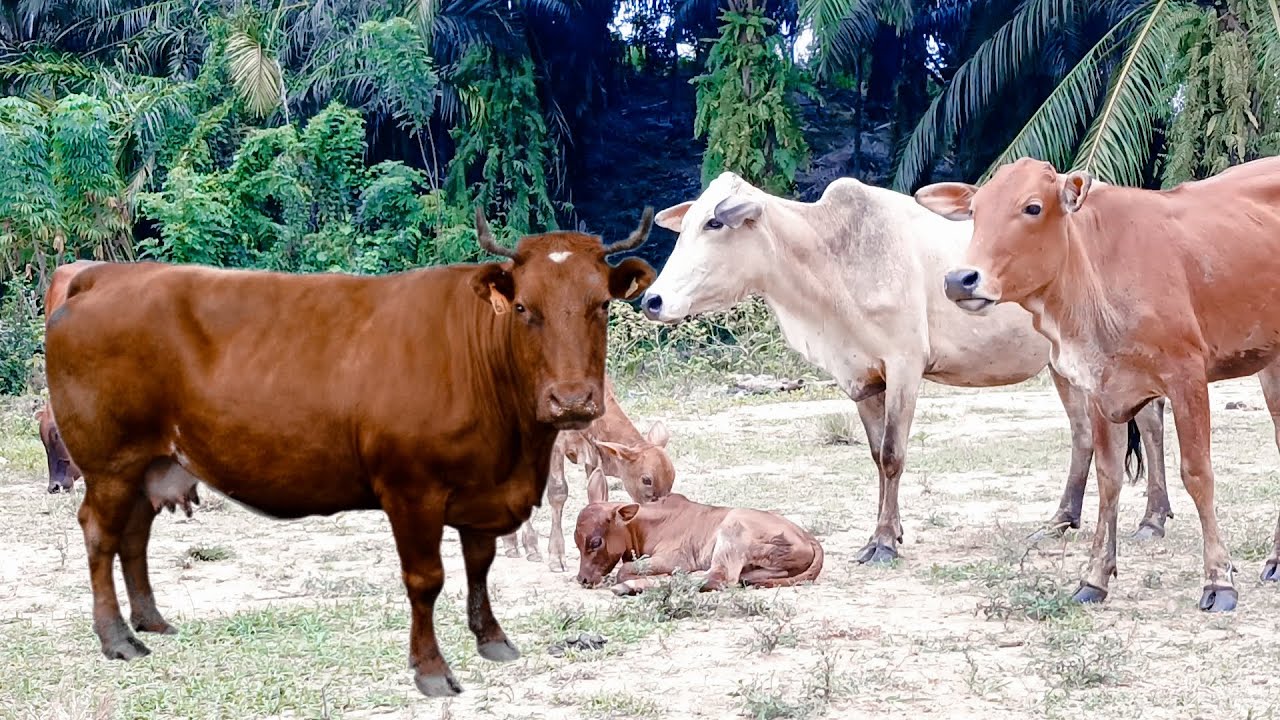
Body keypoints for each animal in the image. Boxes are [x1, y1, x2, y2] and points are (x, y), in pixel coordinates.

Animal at [501, 375, 675, 571]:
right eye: (646, 480)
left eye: (672, 479)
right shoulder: (556, 444)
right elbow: (558, 493)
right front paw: (557, 556)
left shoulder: (592, 455)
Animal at [573, 469, 823, 594]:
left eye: (595, 542)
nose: (582, 579)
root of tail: (808, 538)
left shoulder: (674, 558)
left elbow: (624, 570)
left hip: (731, 531)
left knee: (718, 578)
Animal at [637, 171, 1169, 567]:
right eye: (687, 225)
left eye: (715, 224)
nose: (653, 300)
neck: (830, 257)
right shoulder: (860, 378)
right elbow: (877, 457)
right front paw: (884, 533)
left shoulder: (905, 365)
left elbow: (894, 455)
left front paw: (885, 543)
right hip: (1062, 365)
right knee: (1083, 433)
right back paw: (1062, 519)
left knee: (1149, 420)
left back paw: (1152, 520)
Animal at [915, 156, 1280, 612]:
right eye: (975, 212)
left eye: (1032, 207)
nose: (960, 279)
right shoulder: (1097, 389)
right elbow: (1109, 479)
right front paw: (1094, 577)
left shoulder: (1187, 376)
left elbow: (1197, 473)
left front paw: (1219, 580)